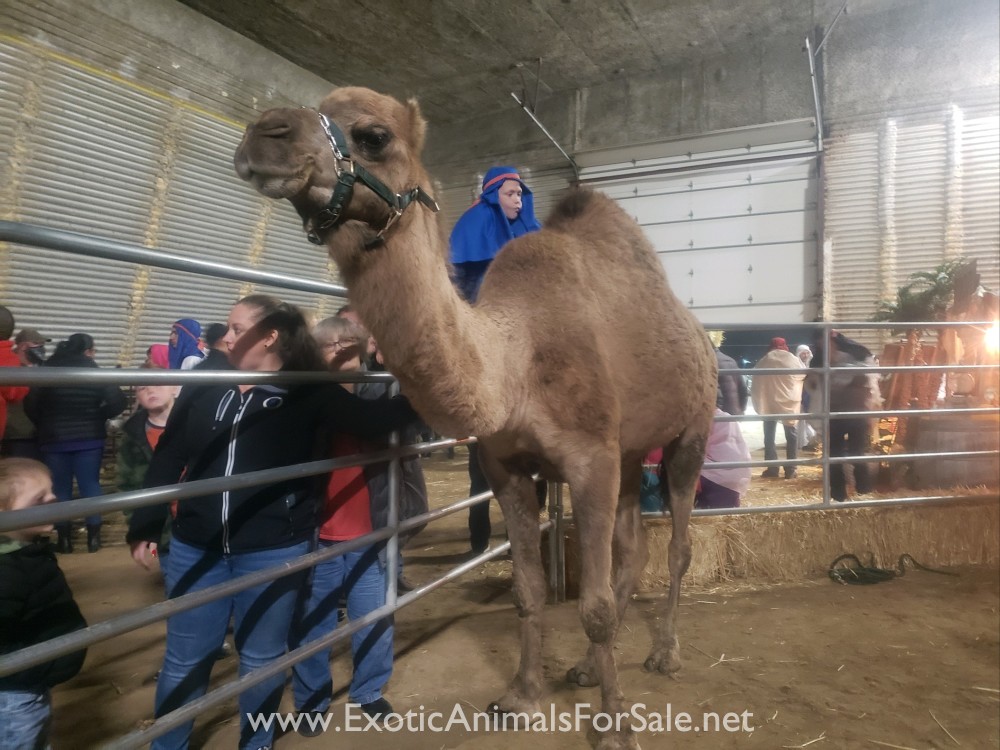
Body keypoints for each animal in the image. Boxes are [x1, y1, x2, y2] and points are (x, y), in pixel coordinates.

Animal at [234, 87, 717, 750]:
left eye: (374, 136)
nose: (265, 132)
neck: (513, 364)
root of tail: (701, 337)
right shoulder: (508, 464)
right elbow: (529, 591)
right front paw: (522, 696)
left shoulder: (590, 458)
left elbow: (589, 607)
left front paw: (616, 726)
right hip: (628, 448)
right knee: (631, 551)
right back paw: (586, 668)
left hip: (691, 430)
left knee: (678, 547)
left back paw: (665, 653)